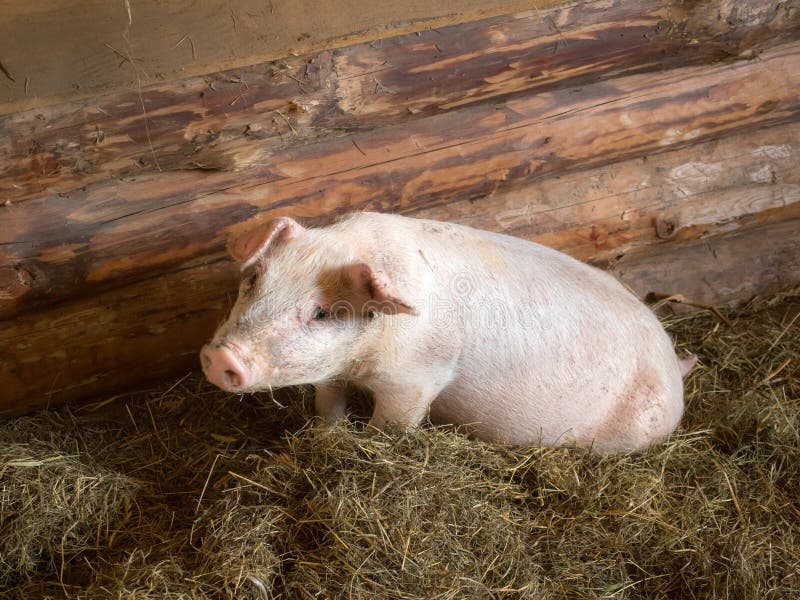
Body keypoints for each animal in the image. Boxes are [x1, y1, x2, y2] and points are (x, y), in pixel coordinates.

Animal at [200, 212, 695, 453]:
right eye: (254, 279)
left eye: (323, 313)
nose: (221, 357)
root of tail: (675, 364)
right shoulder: (335, 372)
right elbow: (328, 405)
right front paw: (327, 431)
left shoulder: (417, 378)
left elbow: (391, 427)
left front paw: (371, 447)